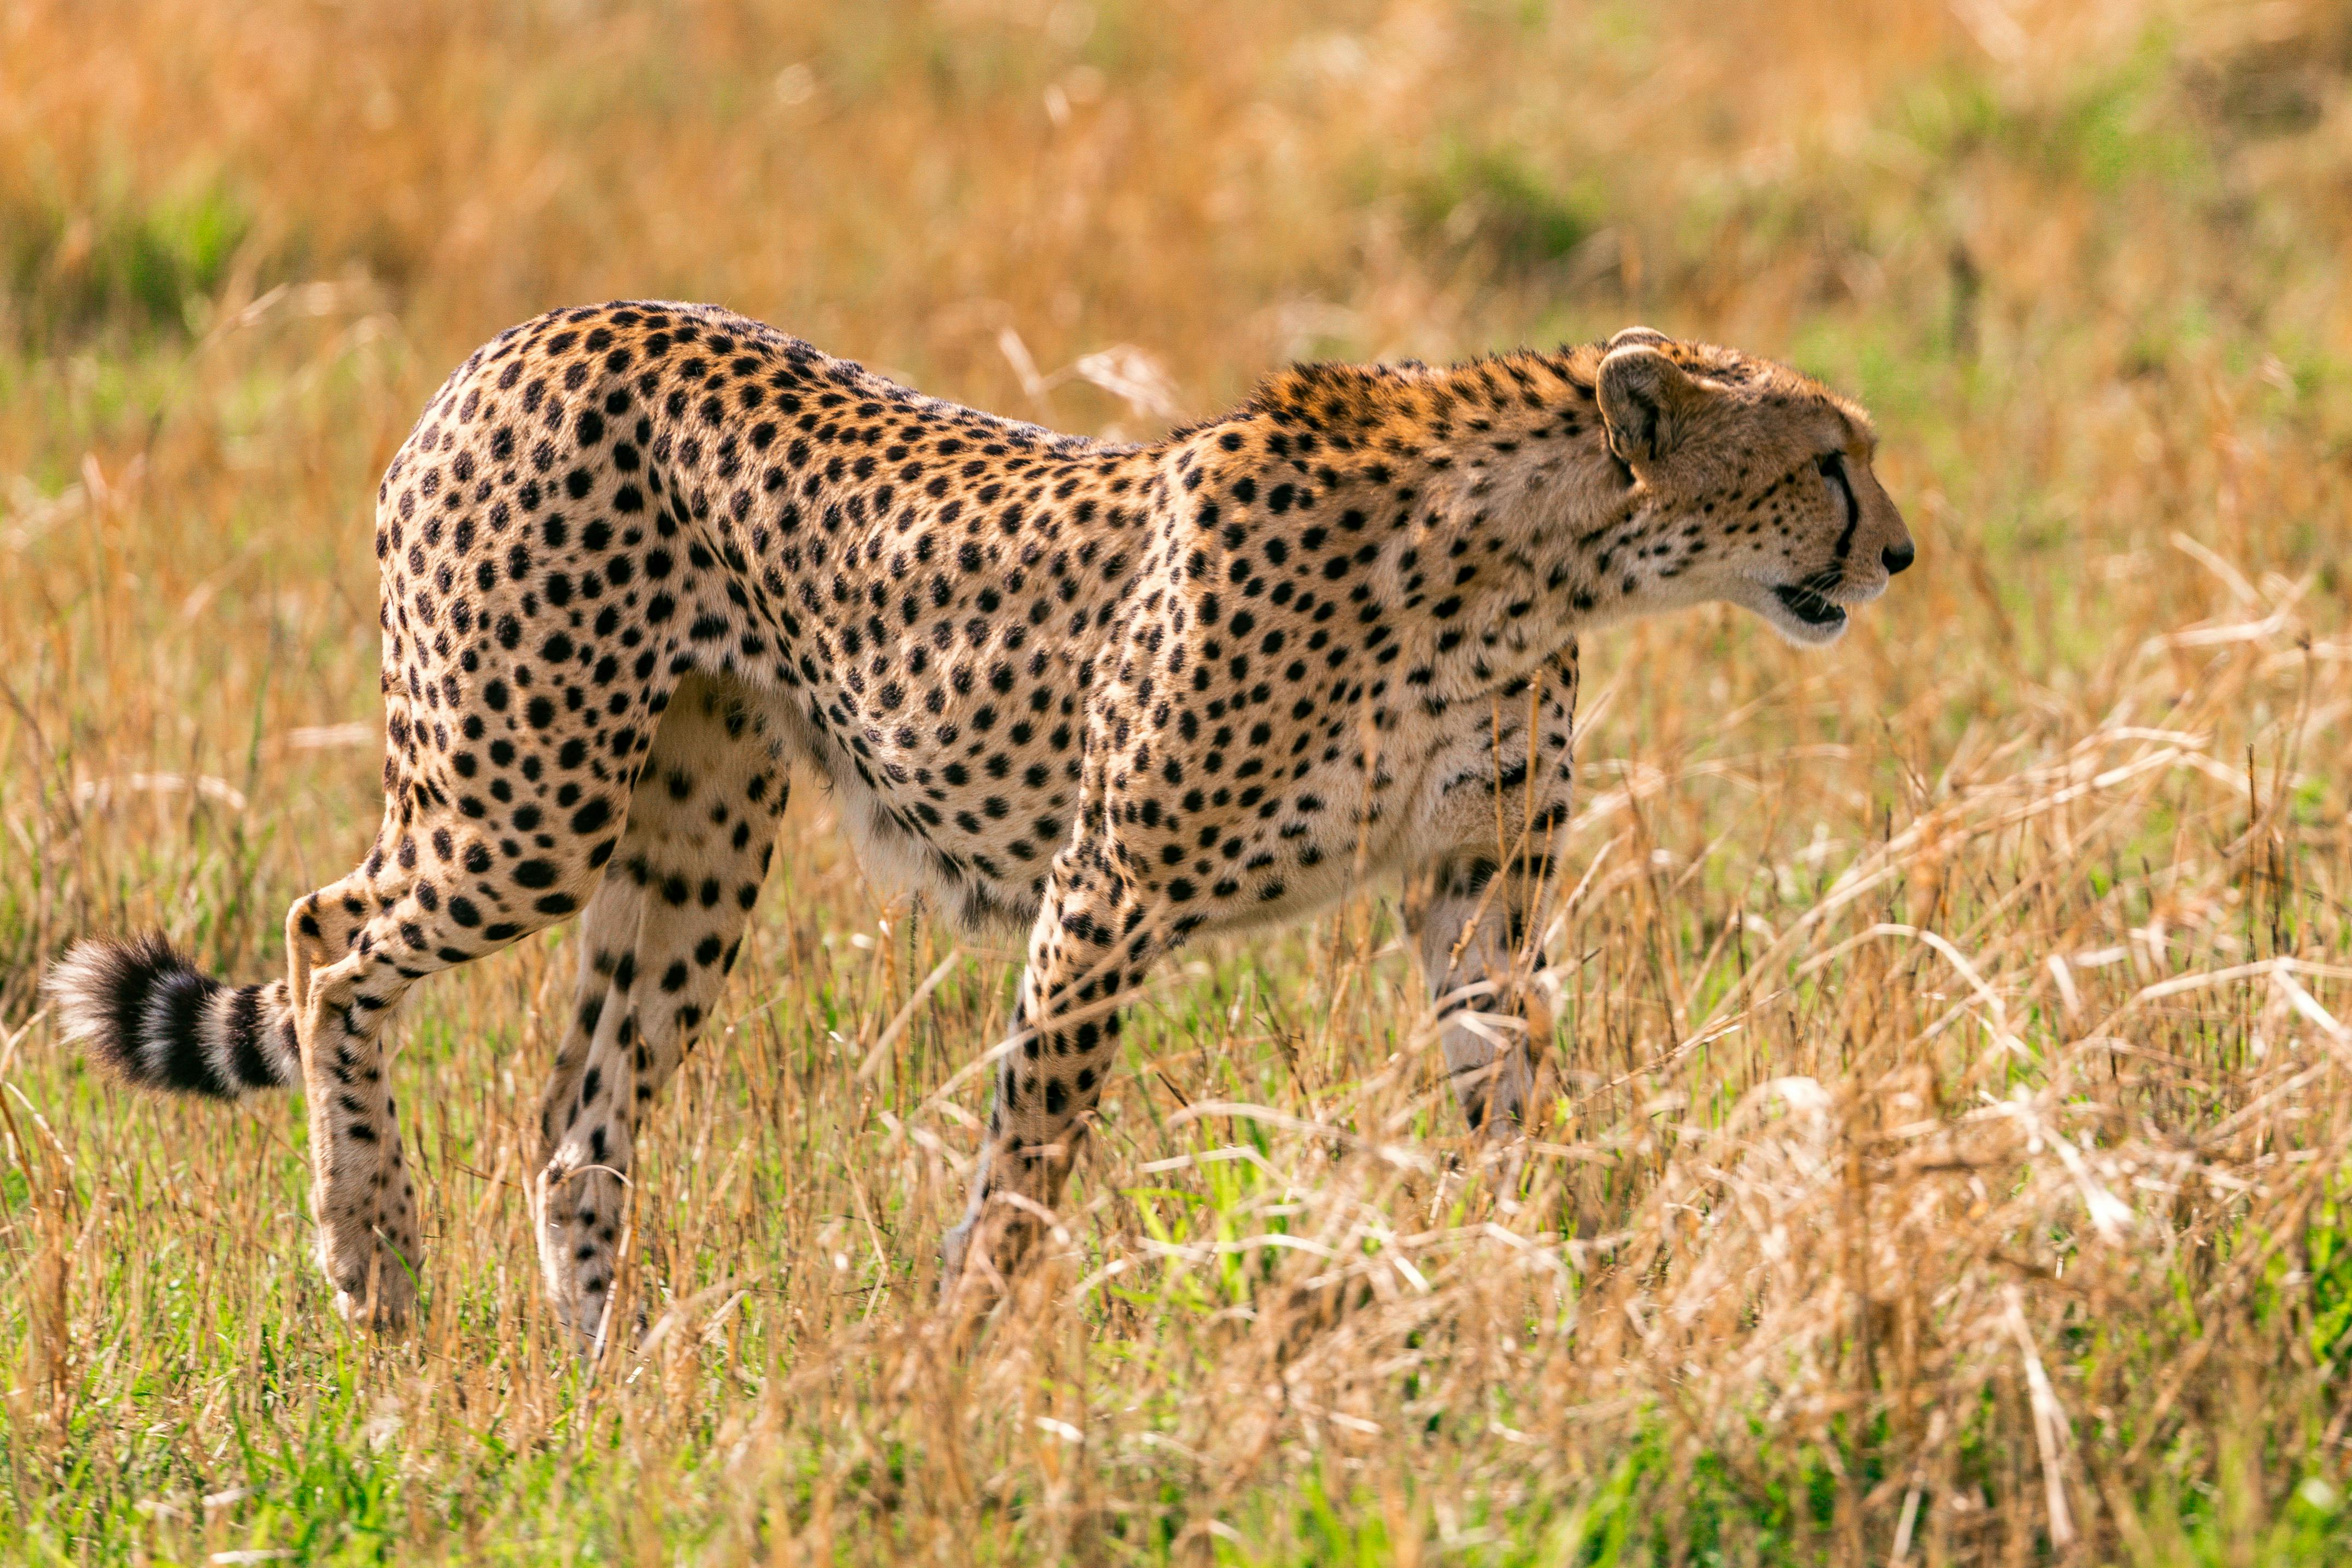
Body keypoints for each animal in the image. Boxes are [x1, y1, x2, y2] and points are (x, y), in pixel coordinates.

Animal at [44, 304, 1912, 1342]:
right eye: (1826, 458)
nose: (1898, 552)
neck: (1525, 548)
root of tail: (531, 332)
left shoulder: (1474, 896)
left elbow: (1513, 1095)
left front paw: (1552, 1293)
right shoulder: (1109, 885)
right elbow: (1029, 1157)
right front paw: (957, 1346)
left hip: (691, 837)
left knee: (574, 1117)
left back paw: (613, 1389)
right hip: (530, 793)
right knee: (325, 940)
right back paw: (372, 1257)